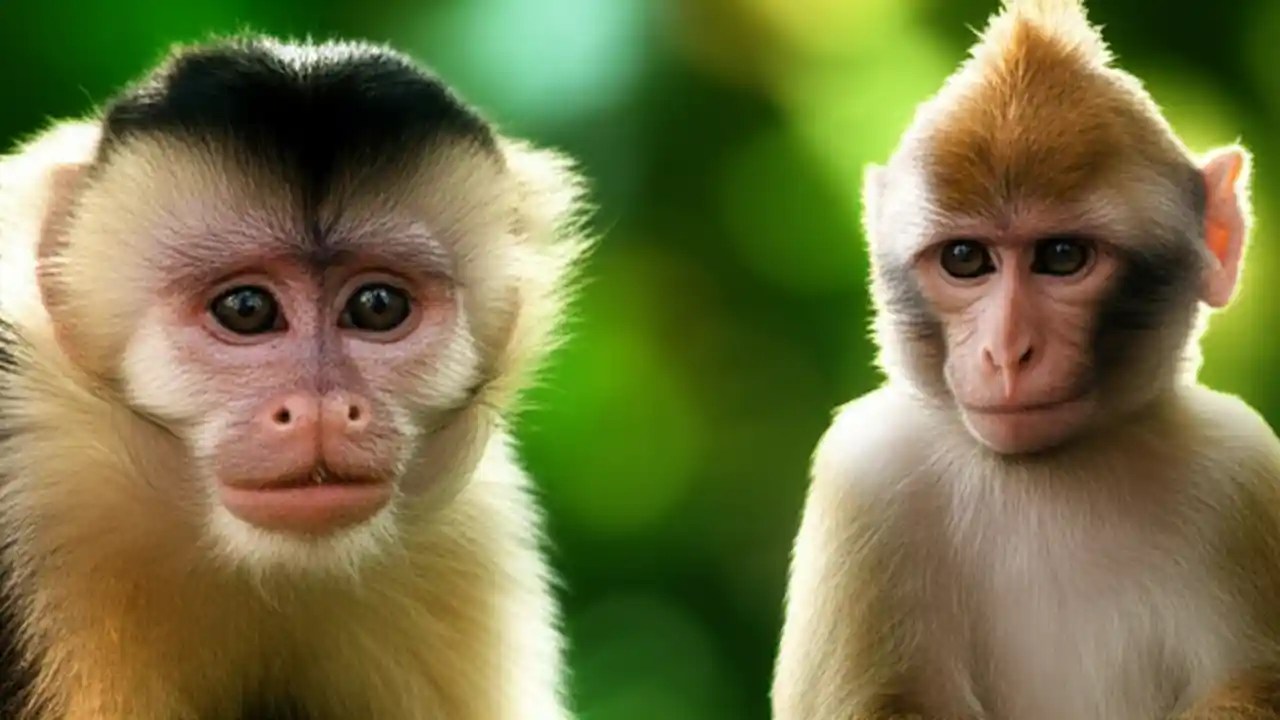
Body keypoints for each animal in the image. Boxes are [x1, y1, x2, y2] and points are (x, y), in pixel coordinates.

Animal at [770, 2, 1280, 719]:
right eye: (965, 259)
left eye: (1062, 257)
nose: (1007, 353)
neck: (1045, 471)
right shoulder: (865, 479)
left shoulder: (1244, 473)